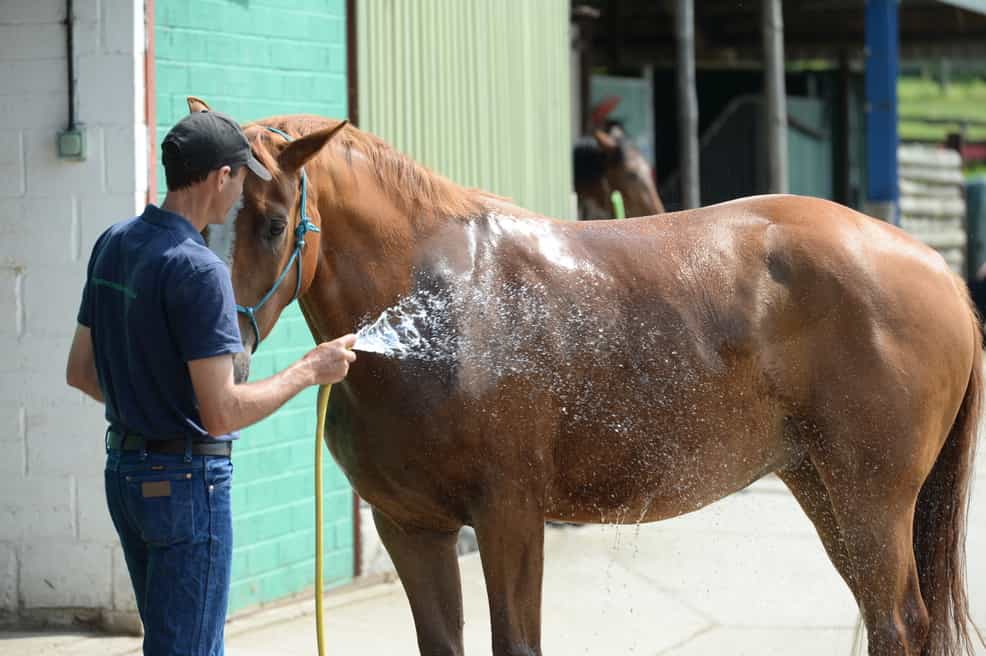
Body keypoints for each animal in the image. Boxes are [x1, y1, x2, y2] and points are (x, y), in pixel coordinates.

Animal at [189, 97, 983, 656]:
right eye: (191, 217)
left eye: (271, 223)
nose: (222, 355)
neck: (442, 304)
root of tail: (935, 269)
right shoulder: (412, 528)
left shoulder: (510, 515)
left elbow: (517, 642)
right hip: (826, 491)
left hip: (871, 500)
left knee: (897, 622)